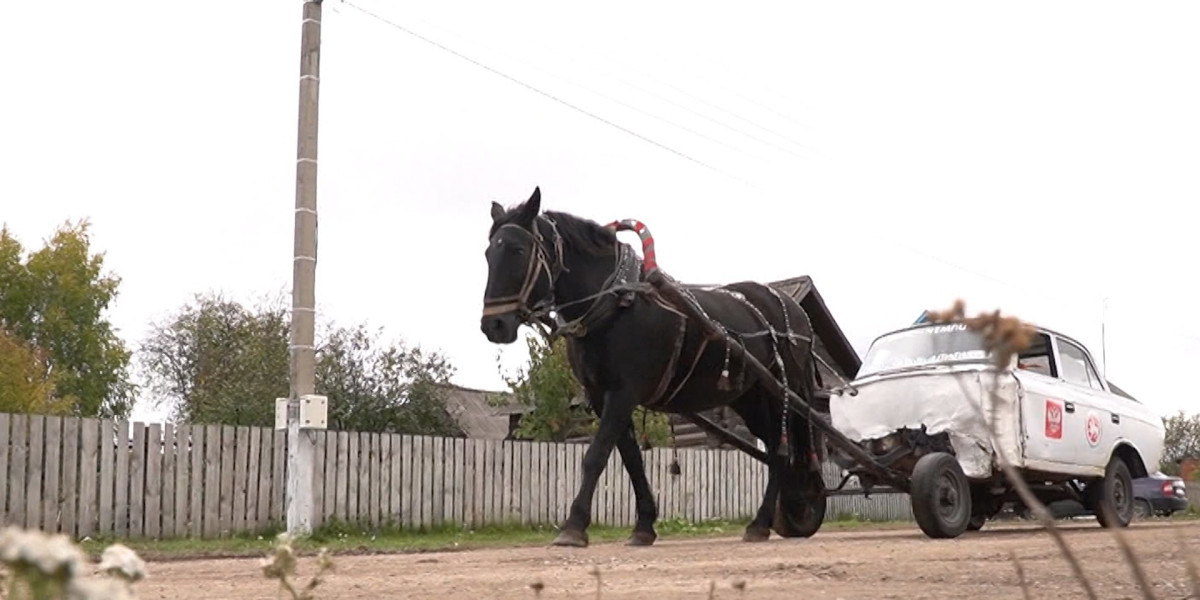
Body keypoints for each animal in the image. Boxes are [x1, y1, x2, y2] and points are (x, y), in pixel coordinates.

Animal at [477, 187, 825, 549]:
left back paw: (764, 521)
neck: (615, 303)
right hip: (751, 398)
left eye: (518, 250)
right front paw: (644, 524)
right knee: (774, 449)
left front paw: (573, 526)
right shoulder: (601, 396)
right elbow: (631, 458)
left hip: (784, 394)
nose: (494, 325)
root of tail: (797, 314)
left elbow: (596, 455)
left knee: (783, 451)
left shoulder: (623, 393)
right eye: (488, 253)